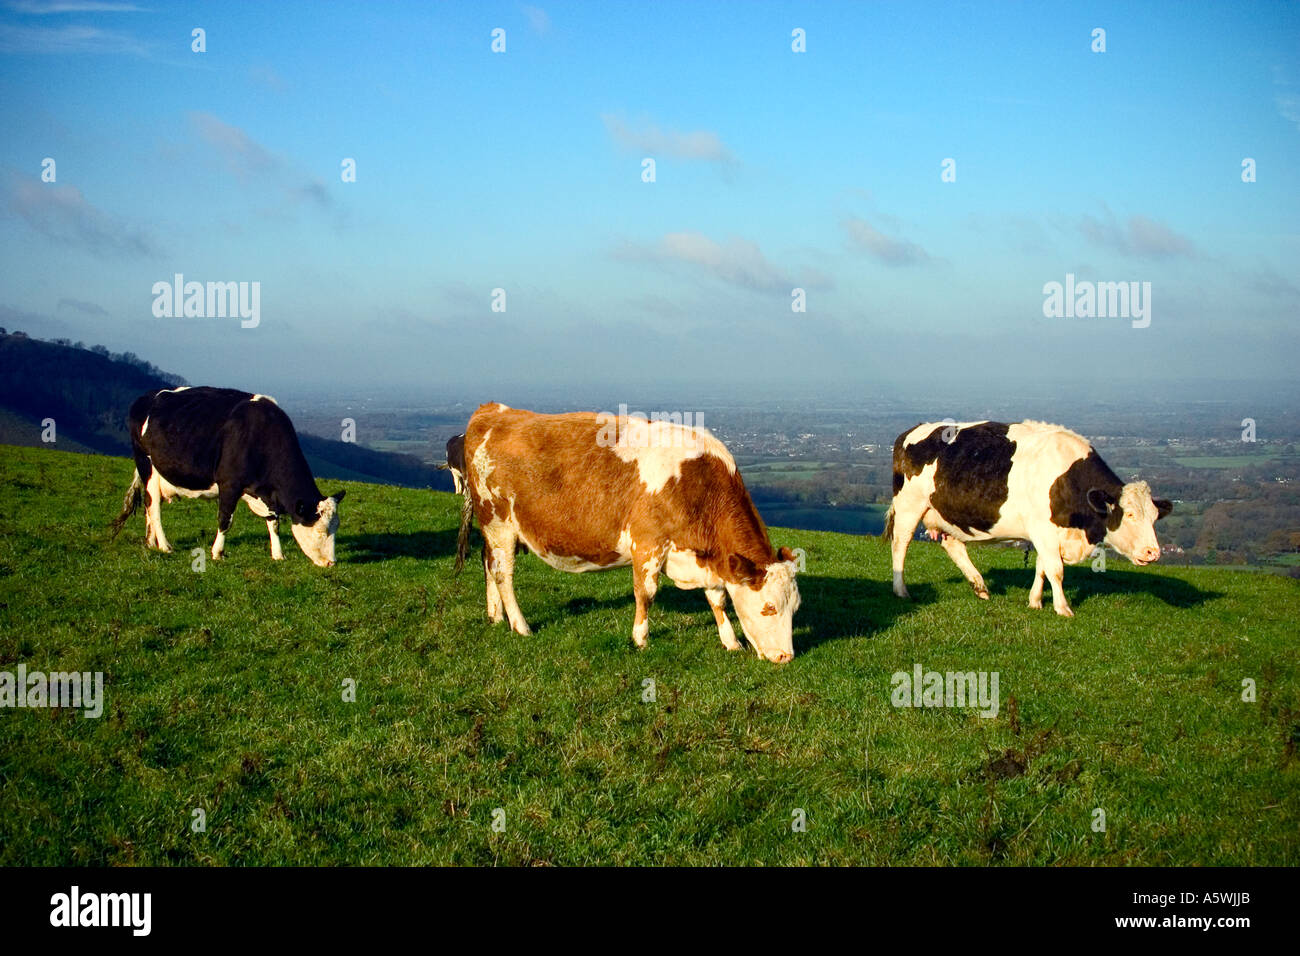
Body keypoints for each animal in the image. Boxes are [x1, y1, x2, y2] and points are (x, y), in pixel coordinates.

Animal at [110, 386, 345, 566]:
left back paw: (151, 543)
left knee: (149, 506)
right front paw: (217, 553)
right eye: (320, 532)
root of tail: (145, 397)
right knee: (154, 507)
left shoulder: (267, 493)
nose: (331, 563)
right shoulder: (229, 484)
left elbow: (274, 522)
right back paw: (165, 546)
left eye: (336, 527)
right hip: (145, 463)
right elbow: (225, 520)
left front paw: (278, 555)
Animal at [454, 403, 802, 662]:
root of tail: (493, 411)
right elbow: (646, 593)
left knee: (488, 565)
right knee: (503, 574)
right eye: (768, 608)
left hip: (492, 529)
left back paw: (495, 616)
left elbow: (717, 597)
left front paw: (730, 641)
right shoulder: (648, 543)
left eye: (795, 608)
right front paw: (641, 638)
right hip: (498, 522)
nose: (786, 657)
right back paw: (520, 625)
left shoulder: (705, 555)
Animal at [884, 420, 1171, 617]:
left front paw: (1035, 601)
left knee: (952, 545)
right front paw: (1063, 608)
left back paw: (980, 587)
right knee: (900, 544)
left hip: (949, 514)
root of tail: (912, 431)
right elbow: (1055, 569)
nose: (1153, 552)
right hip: (910, 506)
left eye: (1155, 518)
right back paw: (901, 590)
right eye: (1130, 514)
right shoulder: (1043, 528)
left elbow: (1042, 566)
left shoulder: (1046, 533)